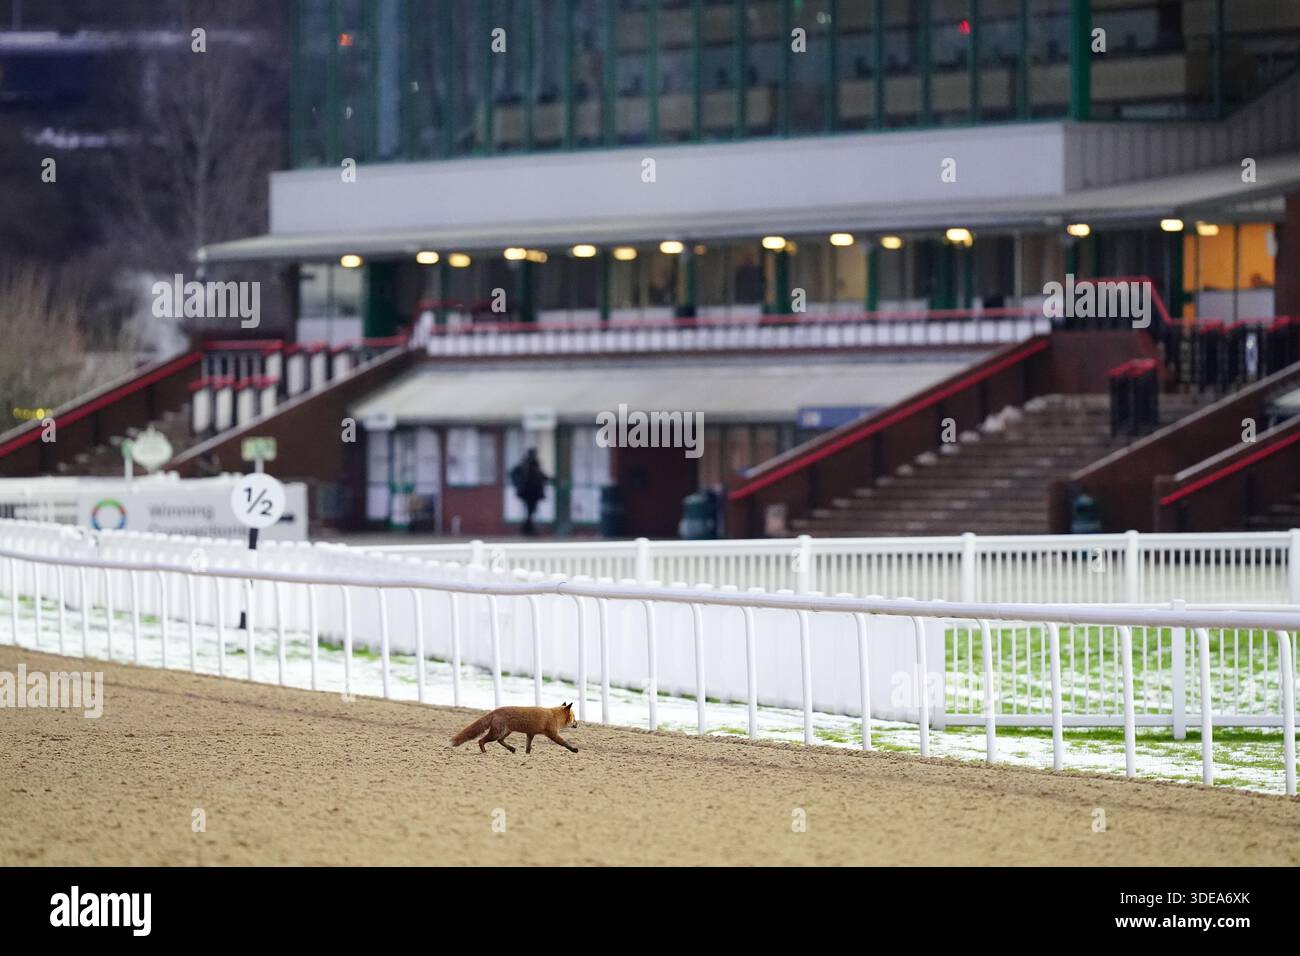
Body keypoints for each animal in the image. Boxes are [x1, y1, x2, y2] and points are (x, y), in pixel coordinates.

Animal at [451, 702, 579, 754]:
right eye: (574, 717)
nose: (577, 724)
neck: (554, 716)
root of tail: (494, 711)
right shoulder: (553, 734)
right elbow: (565, 743)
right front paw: (574, 750)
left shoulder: (530, 734)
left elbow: (528, 747)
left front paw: (527, 754)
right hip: (496, 733)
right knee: (481, 740)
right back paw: (484, 752)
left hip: (506, 732)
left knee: (500, 741)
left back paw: (511, 749)